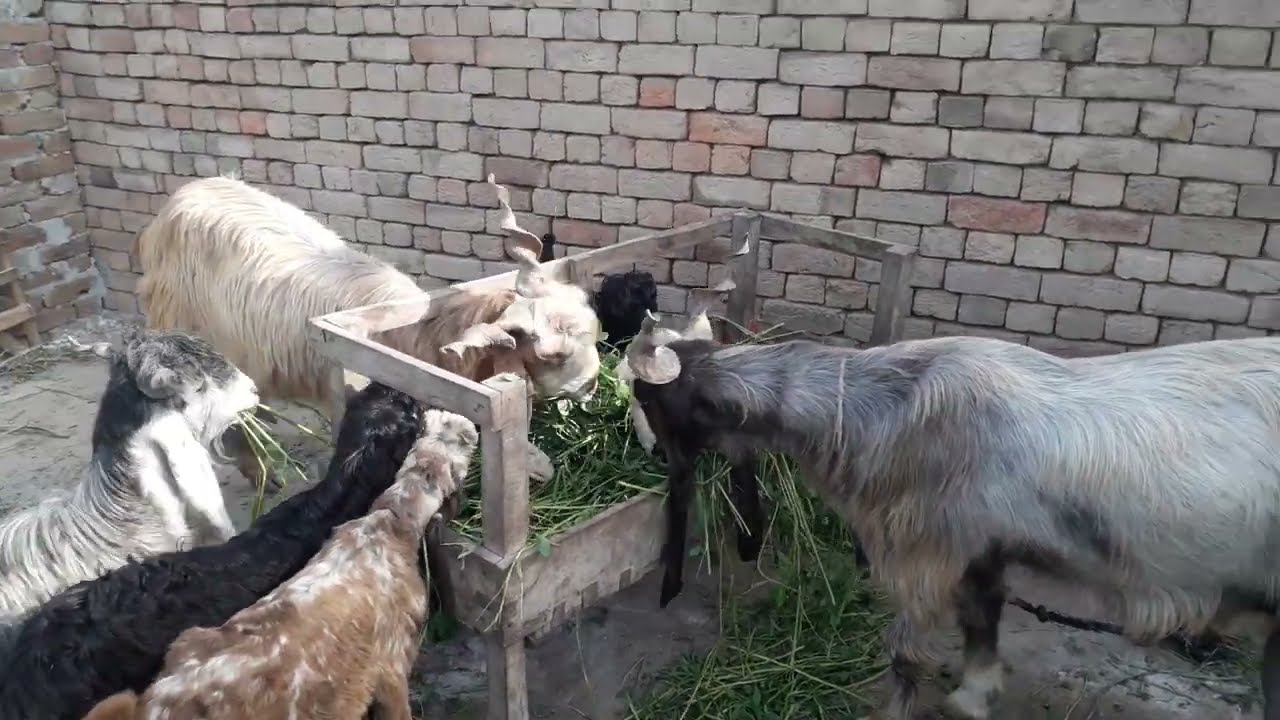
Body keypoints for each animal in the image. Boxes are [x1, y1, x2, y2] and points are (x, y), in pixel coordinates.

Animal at [626, 313, 1280, 720]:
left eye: (648, 397)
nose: (655, 456)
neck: (880, 409)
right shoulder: (978, 546)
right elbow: (982, 618)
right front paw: (975, 695)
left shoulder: (924, 552)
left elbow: (906, 654)